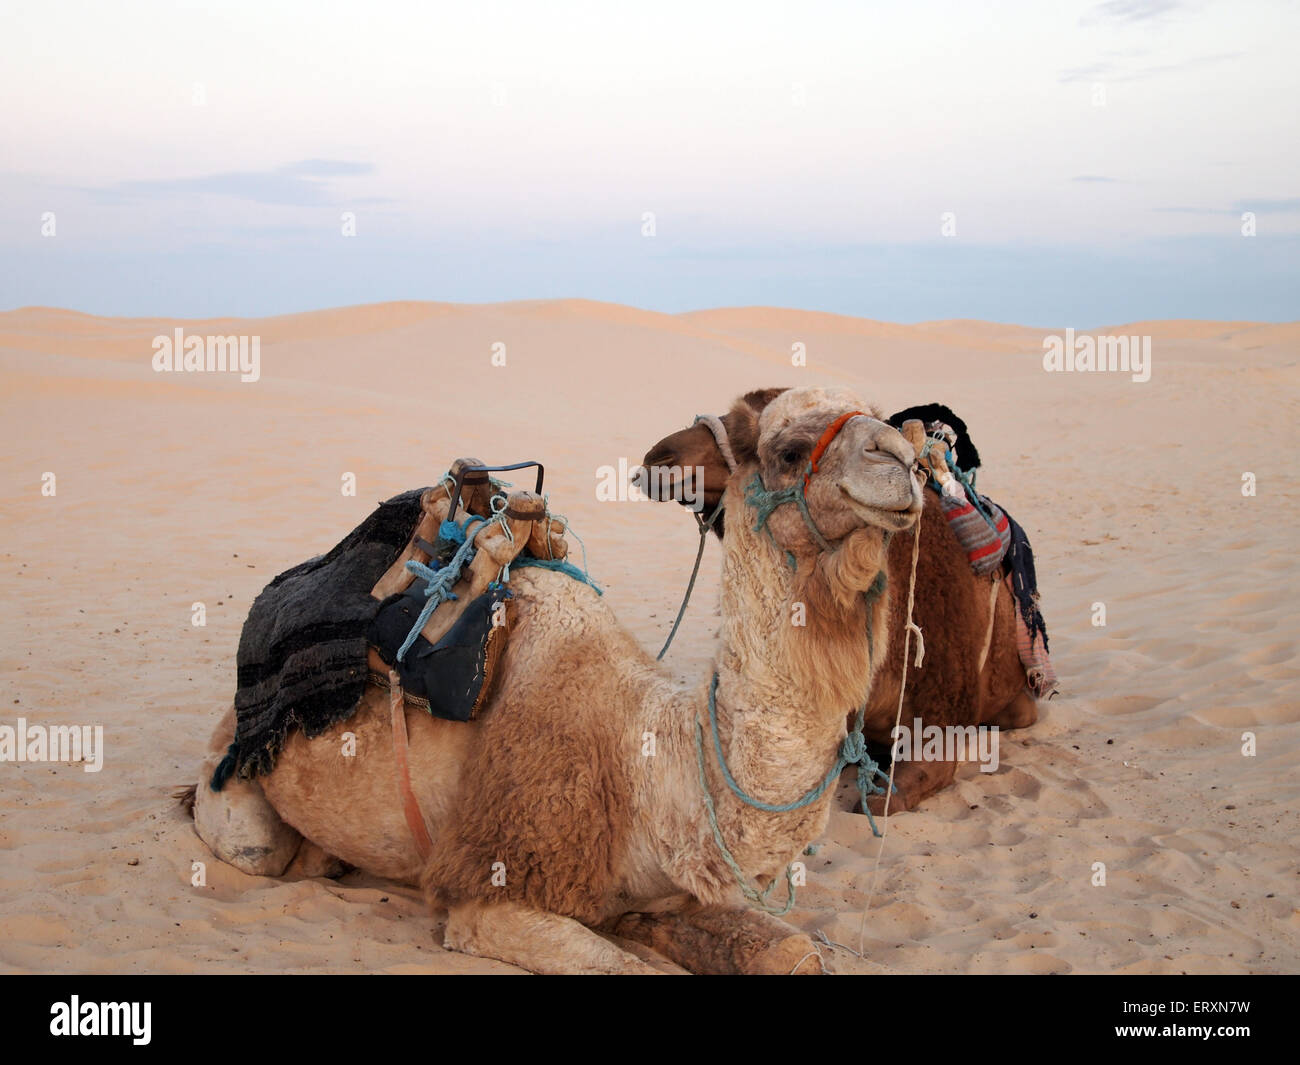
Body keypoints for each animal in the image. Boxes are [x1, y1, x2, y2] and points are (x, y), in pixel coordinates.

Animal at [189, 385, 932, 974]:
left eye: (879, 415)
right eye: (789, 450)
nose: (901, 460)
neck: (647, 766)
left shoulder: (655, 891)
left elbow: (796, 951)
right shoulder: (494, 890)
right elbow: (624, 967)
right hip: (237, 799)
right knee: (258, 848)